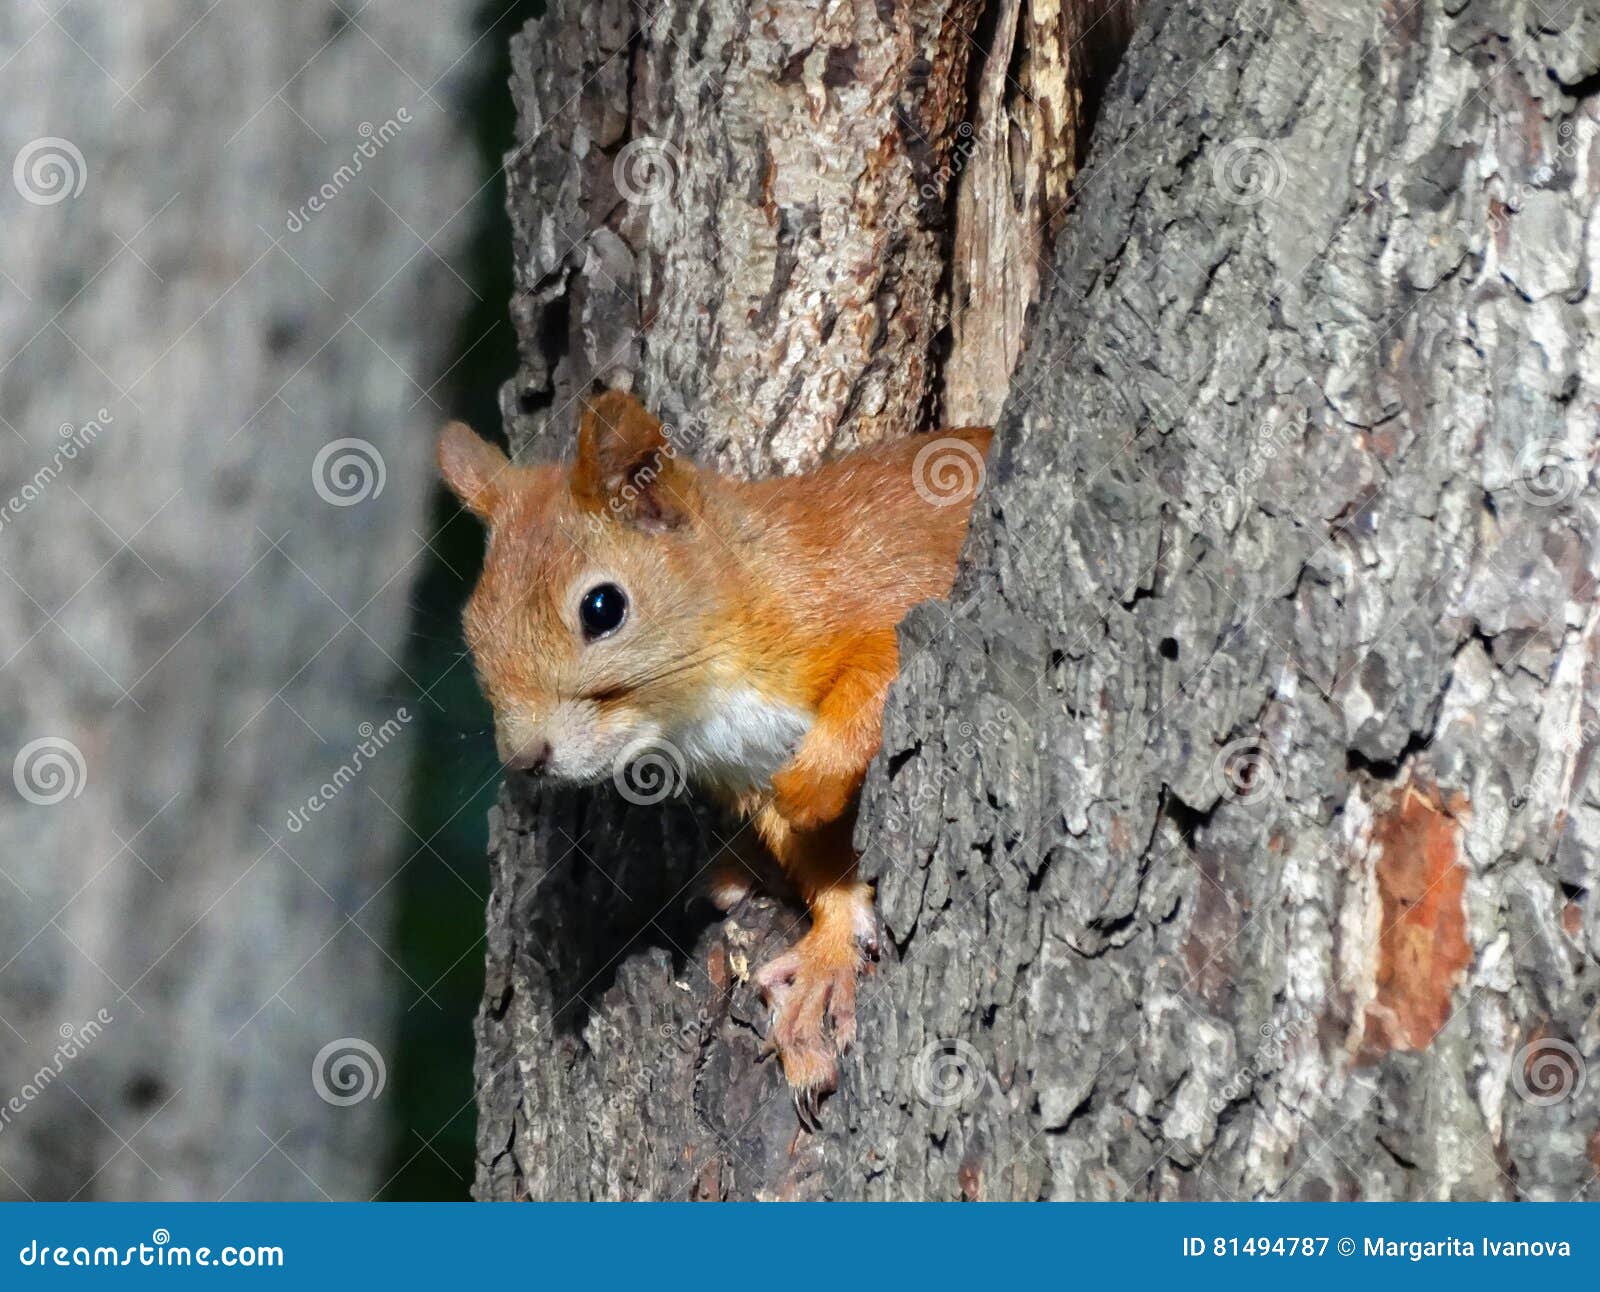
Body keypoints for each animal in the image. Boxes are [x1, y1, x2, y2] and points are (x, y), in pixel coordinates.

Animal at [438, 389, 991, 1116]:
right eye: (472, 629)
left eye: (602, 607)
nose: (526, 758)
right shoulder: (745, 774)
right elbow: (819, 865)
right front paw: (828, 955)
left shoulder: (889, 588)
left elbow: (874, 679)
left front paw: (810, 786)